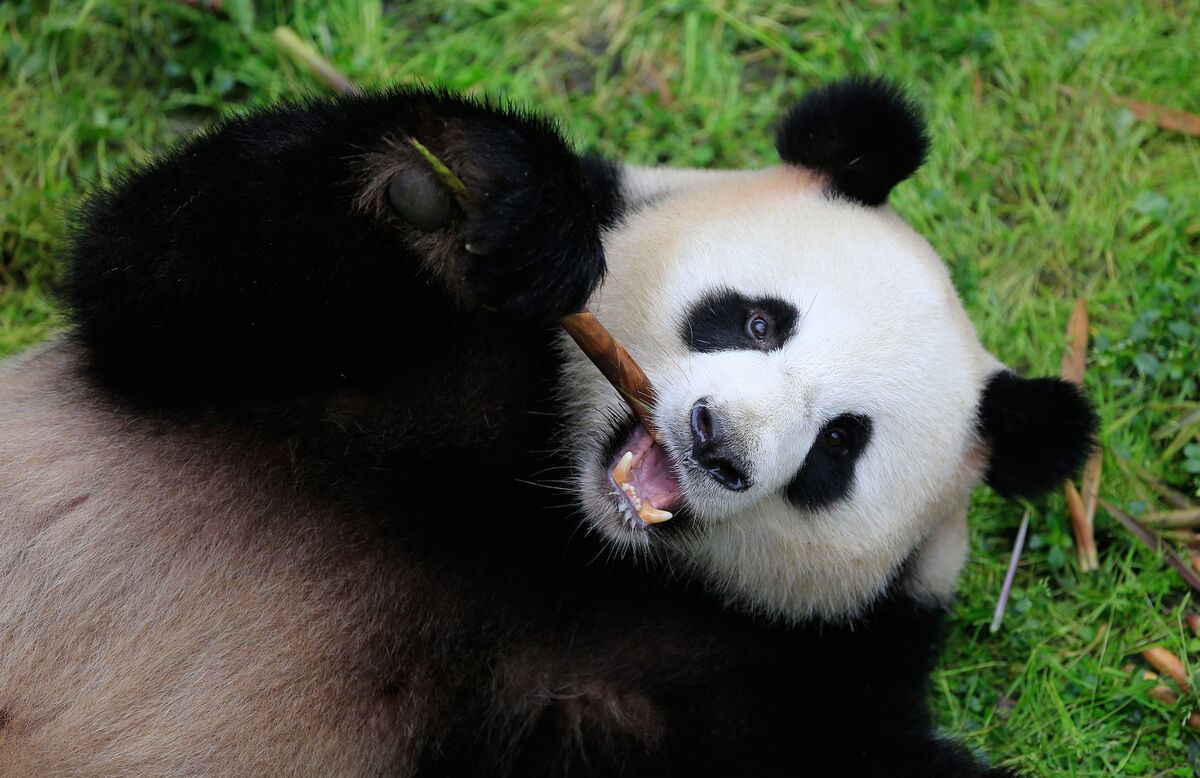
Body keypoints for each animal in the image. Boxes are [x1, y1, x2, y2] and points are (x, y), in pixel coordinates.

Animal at [0, 77, 1094, 776]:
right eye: (756, 320)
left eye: (839, 446)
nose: (716, 444)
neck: (561, 522)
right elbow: (155, 282)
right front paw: (476, 193)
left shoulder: (762, 682)